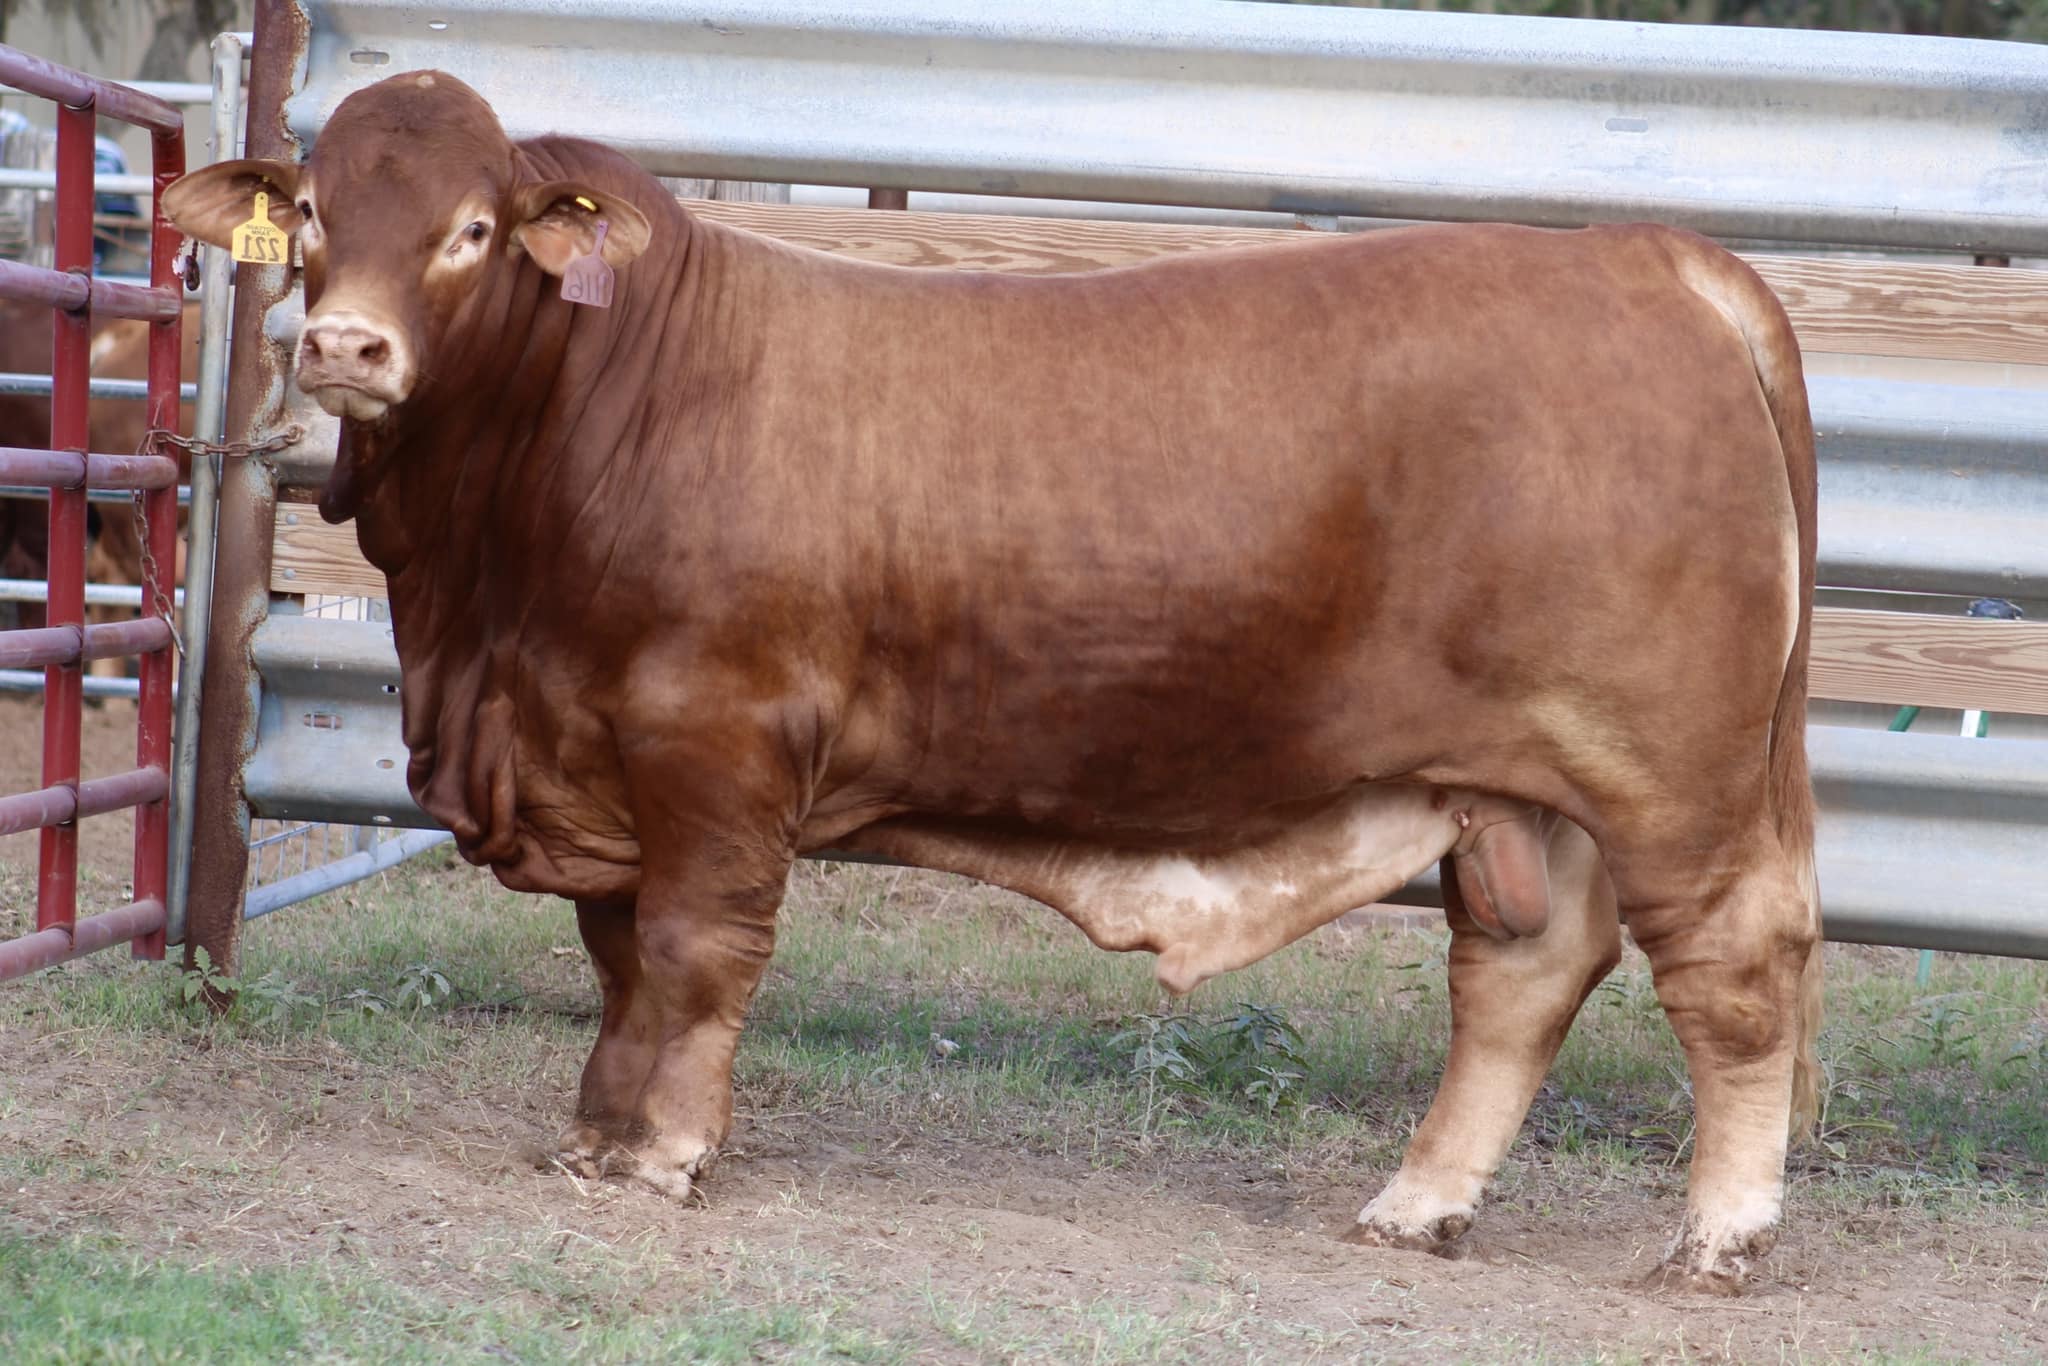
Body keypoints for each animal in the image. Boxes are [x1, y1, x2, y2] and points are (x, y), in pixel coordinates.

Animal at [163, 70, 1821, 1293]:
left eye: (470, 229)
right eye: (313, 214)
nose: (344, 345)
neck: (488, 611)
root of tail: (1643, 254)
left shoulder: (712, 738)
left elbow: (694, 951)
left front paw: (664, 1153)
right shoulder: (600, 749)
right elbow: (620, 955)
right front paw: (596, 1131)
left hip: (1669, 772)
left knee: (1735, 967)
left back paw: (1720, 1236)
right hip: (1529, 789)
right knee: (1526, 972)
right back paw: (1419, 1203)